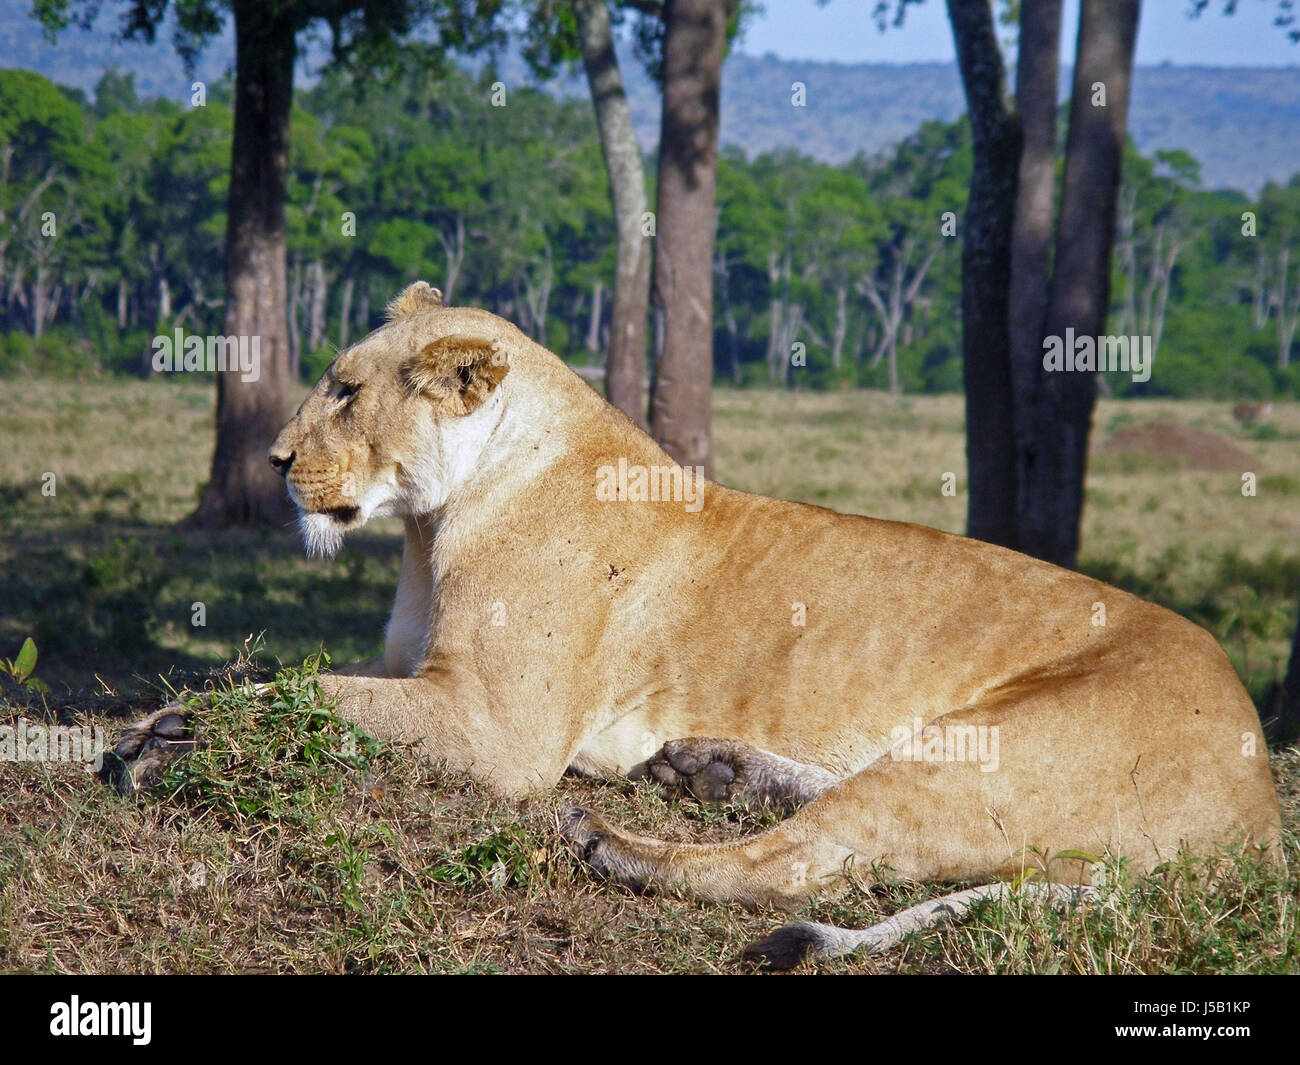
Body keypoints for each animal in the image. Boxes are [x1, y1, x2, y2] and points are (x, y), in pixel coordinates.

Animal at [117, 281, 1280, 966]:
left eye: (348, 393)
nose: (273, 462)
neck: (431, 522)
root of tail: (1263, 797)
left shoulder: (497, 732)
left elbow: (306, 692)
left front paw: (166, 741)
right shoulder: (420, 673)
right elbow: (282, 677)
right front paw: (145, 723)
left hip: (994, 750)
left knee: (800, 865)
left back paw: (616, 841)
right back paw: (713, 769)